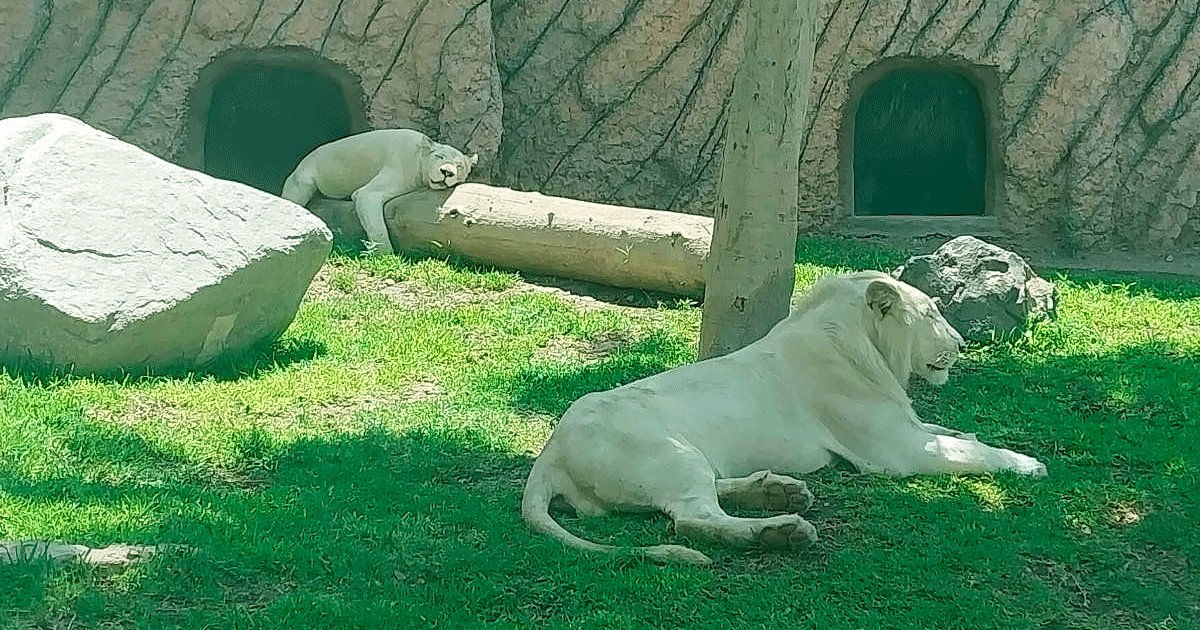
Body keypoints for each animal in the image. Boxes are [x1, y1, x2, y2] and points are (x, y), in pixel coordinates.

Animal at [281, 129, 477, 255]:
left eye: (459, 166)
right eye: (439, 157)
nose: (447, 172)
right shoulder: (378, 186)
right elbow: (377, 224)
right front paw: (386, 255)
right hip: (303, 181)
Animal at [522, 271, 1047, 565]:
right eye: (933, 315)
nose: (960, 344)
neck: (868, 345)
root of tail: (550, 451)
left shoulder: (909, 428)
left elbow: (956, 435)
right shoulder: (894, 449)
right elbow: (970, 451)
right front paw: (1029, 465)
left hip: (692, 459)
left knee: (712, 495)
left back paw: (778, 490)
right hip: (671, 453)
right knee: (693, 519)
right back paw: (782, 530)